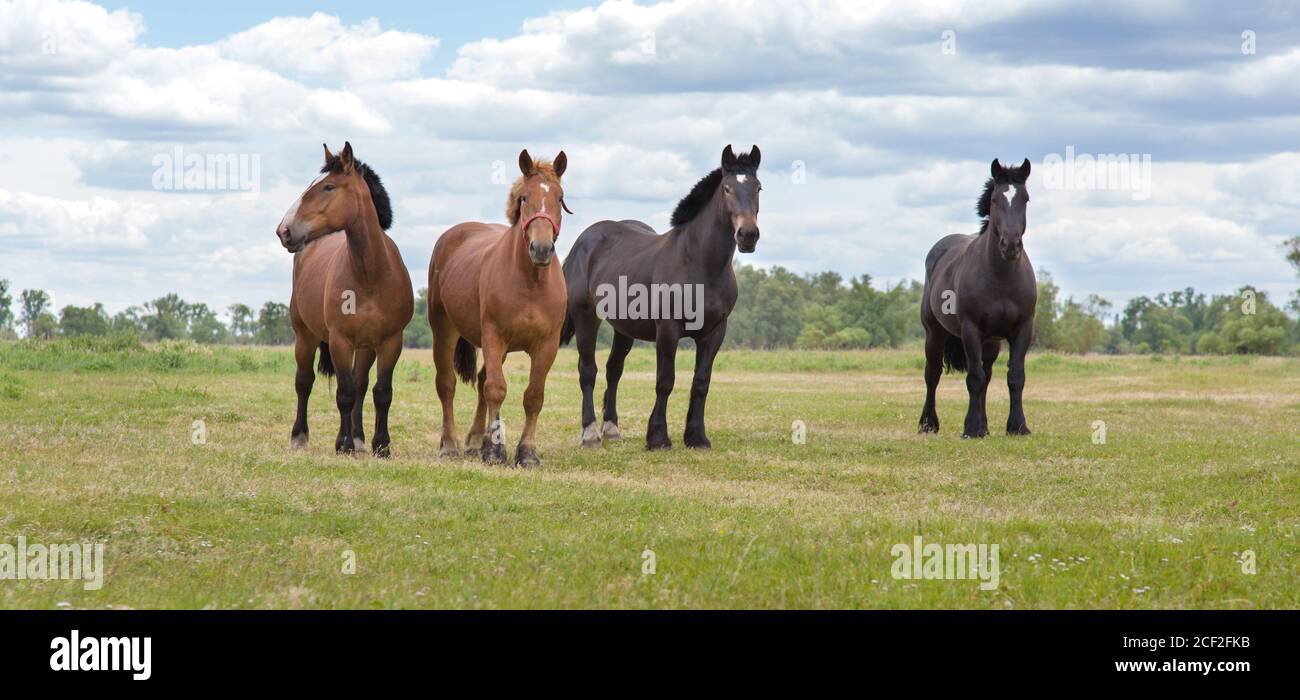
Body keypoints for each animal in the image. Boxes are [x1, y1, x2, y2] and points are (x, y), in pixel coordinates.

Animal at [275, 142, 414, 456]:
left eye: (328, 187)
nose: (284, 230)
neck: (371, 276)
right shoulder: (340, 340)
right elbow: (344, 393)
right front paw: (344, 444)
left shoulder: (390, 341)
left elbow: (381, 392)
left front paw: (381, 445)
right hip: (305, 336)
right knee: (304, 382)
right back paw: (300, 436)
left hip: (365, 347)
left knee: (361, 384)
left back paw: (360, 438)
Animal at [427, 149, 570, 467]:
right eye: (525, 198)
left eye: (559, 197)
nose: (541, 249)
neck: (530, 283)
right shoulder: (494, 335)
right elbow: (496, 389)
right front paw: (495, 451)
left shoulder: (547, 344)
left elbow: (533, 396)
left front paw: (526, 452)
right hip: (444, 329)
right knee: (447, 384)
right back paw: (450, 445)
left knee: (480, 381)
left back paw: (474, 440)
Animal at [560, 145, 762, 451]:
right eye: (727, 188)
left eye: (758, 187)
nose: (748, 235)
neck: (699, 263)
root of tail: (581, 243)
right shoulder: (668, 329)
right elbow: (665, 380)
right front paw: (657, 437)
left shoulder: (715, 332)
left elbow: (701, 382)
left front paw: (697, 437)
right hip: (586, 318)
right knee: (588, 370)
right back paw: (590, 434)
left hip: (624, 329)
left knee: (613, 370)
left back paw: (611, 429)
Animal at [918, 158, 1037, 439]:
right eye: (994, 199)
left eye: (1025, 198)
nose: (1010, 245)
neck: (1001, 278)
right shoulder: (970, 329)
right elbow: (974, 378)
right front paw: (971, 428)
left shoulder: (1023, 329)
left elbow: (1015, 376)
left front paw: (1017, 426)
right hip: (935, 333)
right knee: (933, 374)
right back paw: (929, 424)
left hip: (990, 343)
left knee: (988, 374)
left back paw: (985, 425)